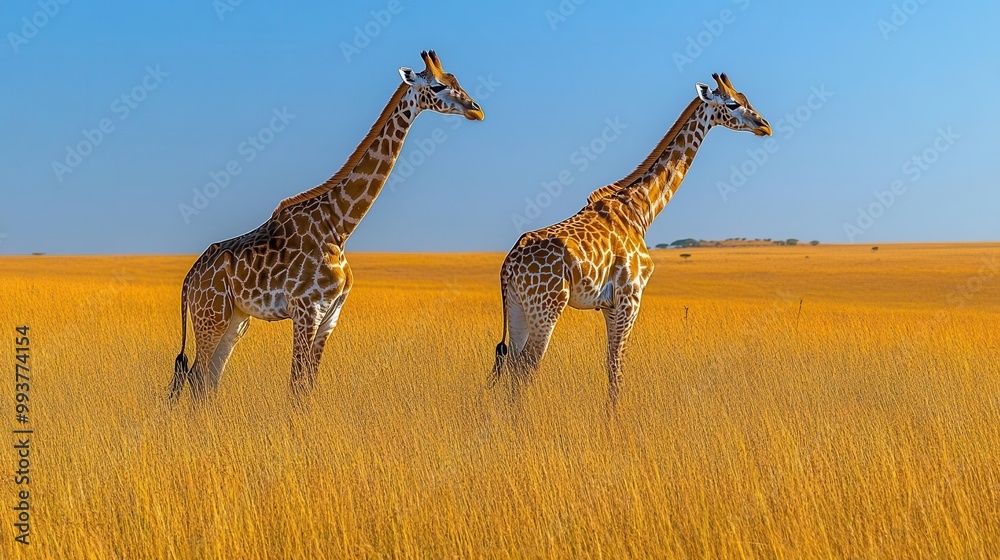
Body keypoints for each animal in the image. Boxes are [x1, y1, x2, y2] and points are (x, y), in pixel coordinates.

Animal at [170, 51, 484, 402]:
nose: (476, 109)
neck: (339, 226)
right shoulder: (307, 311)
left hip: (235, 320)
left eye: (457, 79)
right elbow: (296, 385)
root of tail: (189, 278)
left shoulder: (331, 315)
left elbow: (309, 384)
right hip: (210, 316)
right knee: (197, 376)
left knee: (209, 379)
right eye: (439, 85)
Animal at [489, 73, 771, 406]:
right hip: (546, 307)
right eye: (732, 104)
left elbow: (610, 366)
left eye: (746, 98)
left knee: (512, 365)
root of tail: (509, 263)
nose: (764, 125)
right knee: (528, 366)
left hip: (518, 307)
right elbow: (616, 368)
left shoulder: (609, 305)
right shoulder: (629, 298)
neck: (641, 209)